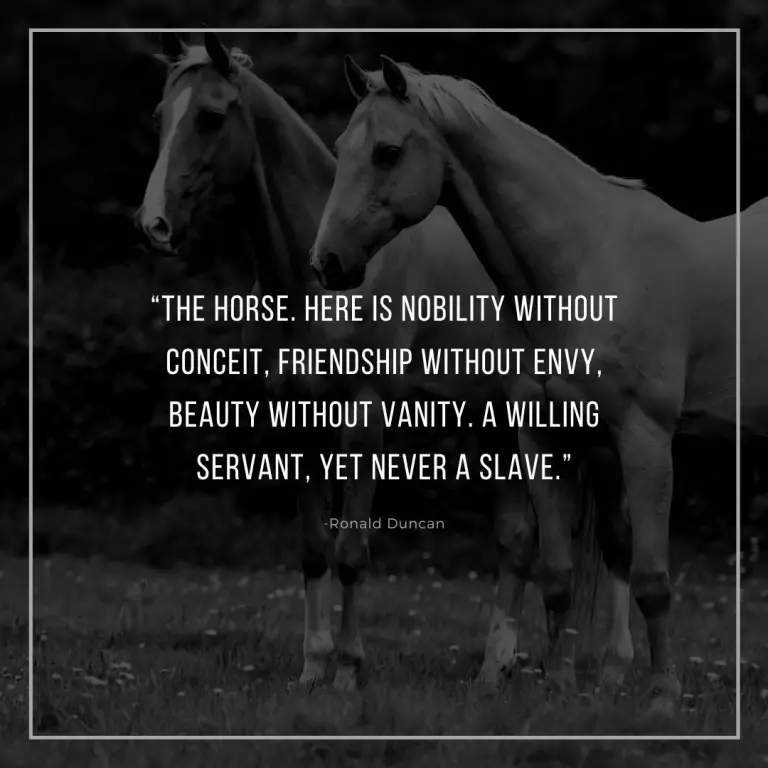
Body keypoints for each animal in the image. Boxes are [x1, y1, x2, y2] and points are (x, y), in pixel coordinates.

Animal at [137, 32, 620, 694]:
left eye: (210, 117)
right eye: (161, 117)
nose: (154, 227)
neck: (315, 288)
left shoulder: (365, 422)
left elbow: (350, 552)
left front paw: (347, 672)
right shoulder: (297, 423)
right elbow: (314, 548)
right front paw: (312, 669)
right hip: (498, 426)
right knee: (517, 540)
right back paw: (492, 673)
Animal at [310, 55, 762, 716]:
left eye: (388, 151)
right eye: (342, 148)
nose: (327, 264)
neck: (585, 262)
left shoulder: (645, 440)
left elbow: (652, 578)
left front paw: (660, 697)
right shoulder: (546, 438)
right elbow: (556, 575)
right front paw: (561, 689)